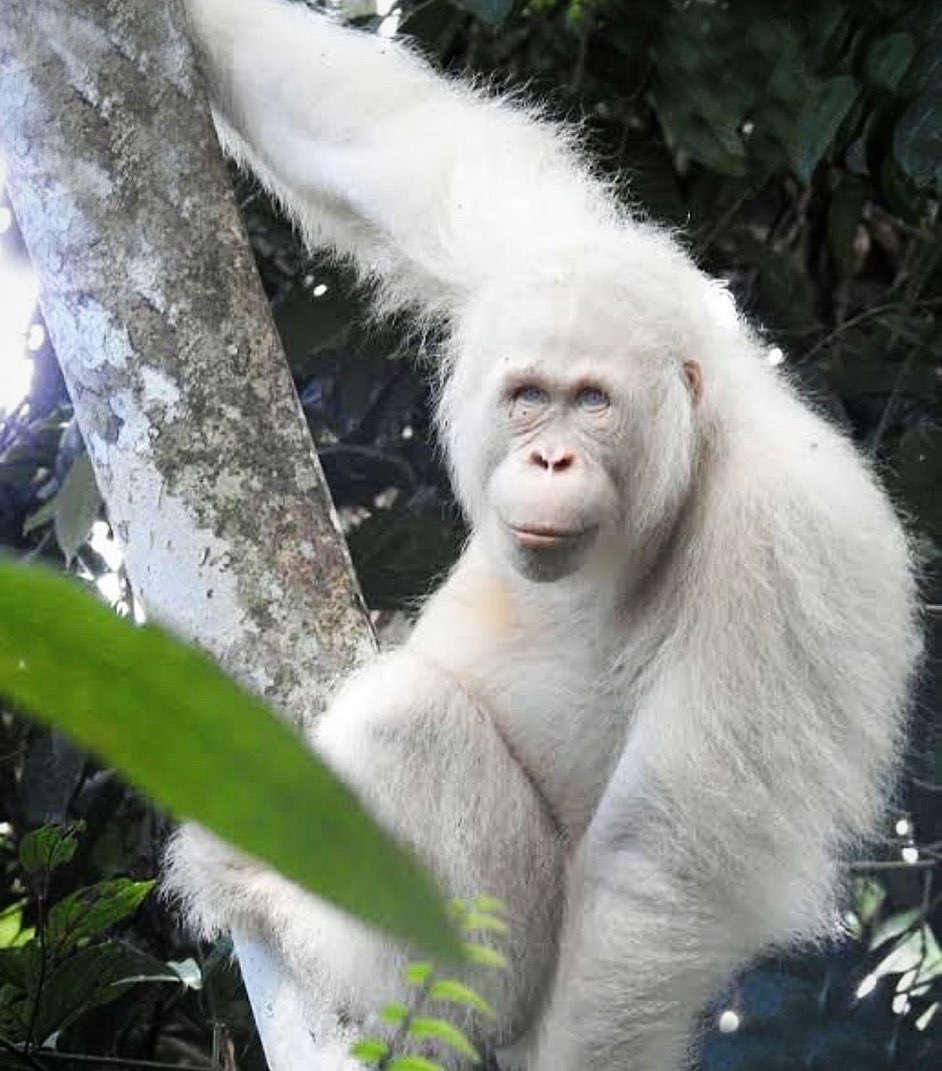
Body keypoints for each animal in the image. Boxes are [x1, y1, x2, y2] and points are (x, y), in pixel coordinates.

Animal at [165, 2, 922, 1068]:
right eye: (530, 397)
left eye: (593, 404)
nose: (553, 457)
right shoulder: (528, 253)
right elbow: (391, 145)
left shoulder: (793, 539)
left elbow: (657, 867)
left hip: (492, 972)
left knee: (409, 721)